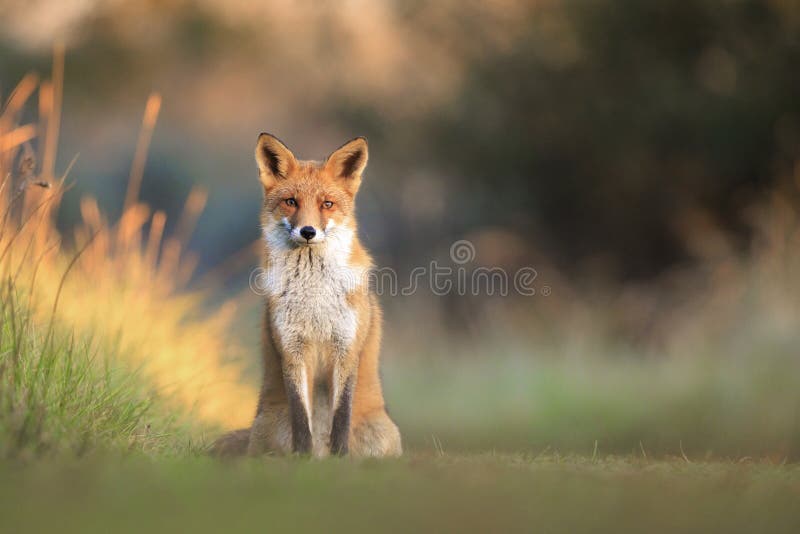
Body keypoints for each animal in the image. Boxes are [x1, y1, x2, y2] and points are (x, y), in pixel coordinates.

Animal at [212, 133, 402, 458]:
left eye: (327, 204)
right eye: (291, 202)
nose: (308, 231)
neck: (314, 297)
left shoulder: (346, 348)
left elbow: (341, 417)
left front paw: (339, 458)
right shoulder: (292, 349)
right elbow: (302, 418)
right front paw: (302, 460)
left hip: (382, 433)